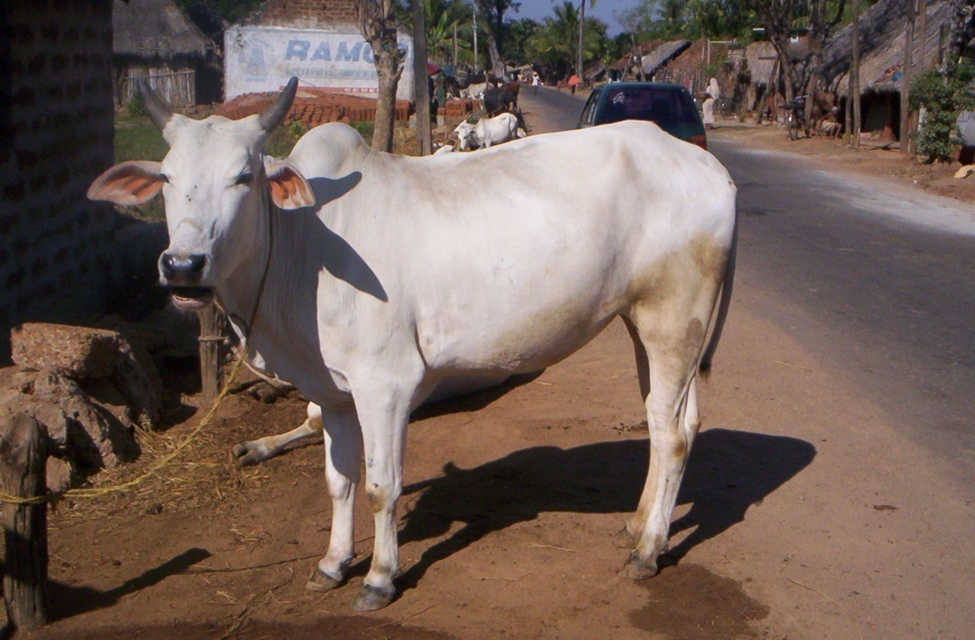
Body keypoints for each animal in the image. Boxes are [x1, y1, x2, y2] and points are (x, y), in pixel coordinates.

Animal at [88, 78, 738, 612]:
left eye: (244, 178)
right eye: (167, 179)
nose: (182, 265)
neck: (301, 244)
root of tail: (711, 170)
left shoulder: (386, 383)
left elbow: (381, 486)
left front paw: (379, 578)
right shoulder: (334, 391)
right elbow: (339, 481)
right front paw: (332, 564)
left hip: (672, 320)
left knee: (672, 434)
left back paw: (648, 549)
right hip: (643, 324)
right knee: (666, 419)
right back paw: (639, 523)